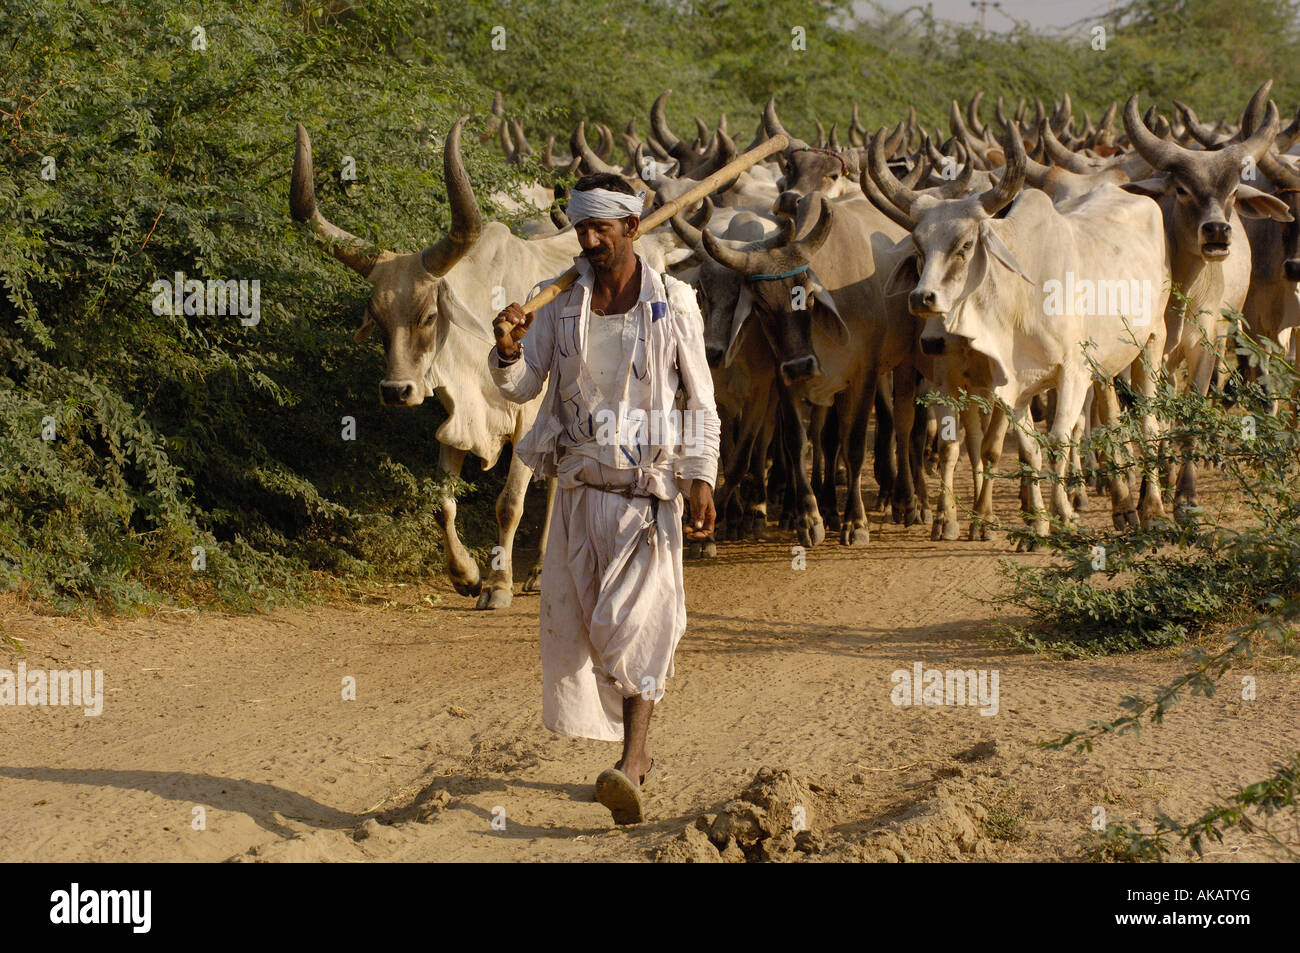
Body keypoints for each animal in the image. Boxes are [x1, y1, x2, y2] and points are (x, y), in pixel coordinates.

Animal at [290, 115, 578, 609]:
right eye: (378, 320)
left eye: (428, 315)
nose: (396, 391)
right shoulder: (458, 414)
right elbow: (441, 504)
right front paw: (466, 575)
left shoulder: (527, 418)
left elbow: (509, 504)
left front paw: (497, 585)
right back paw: (540, 570)